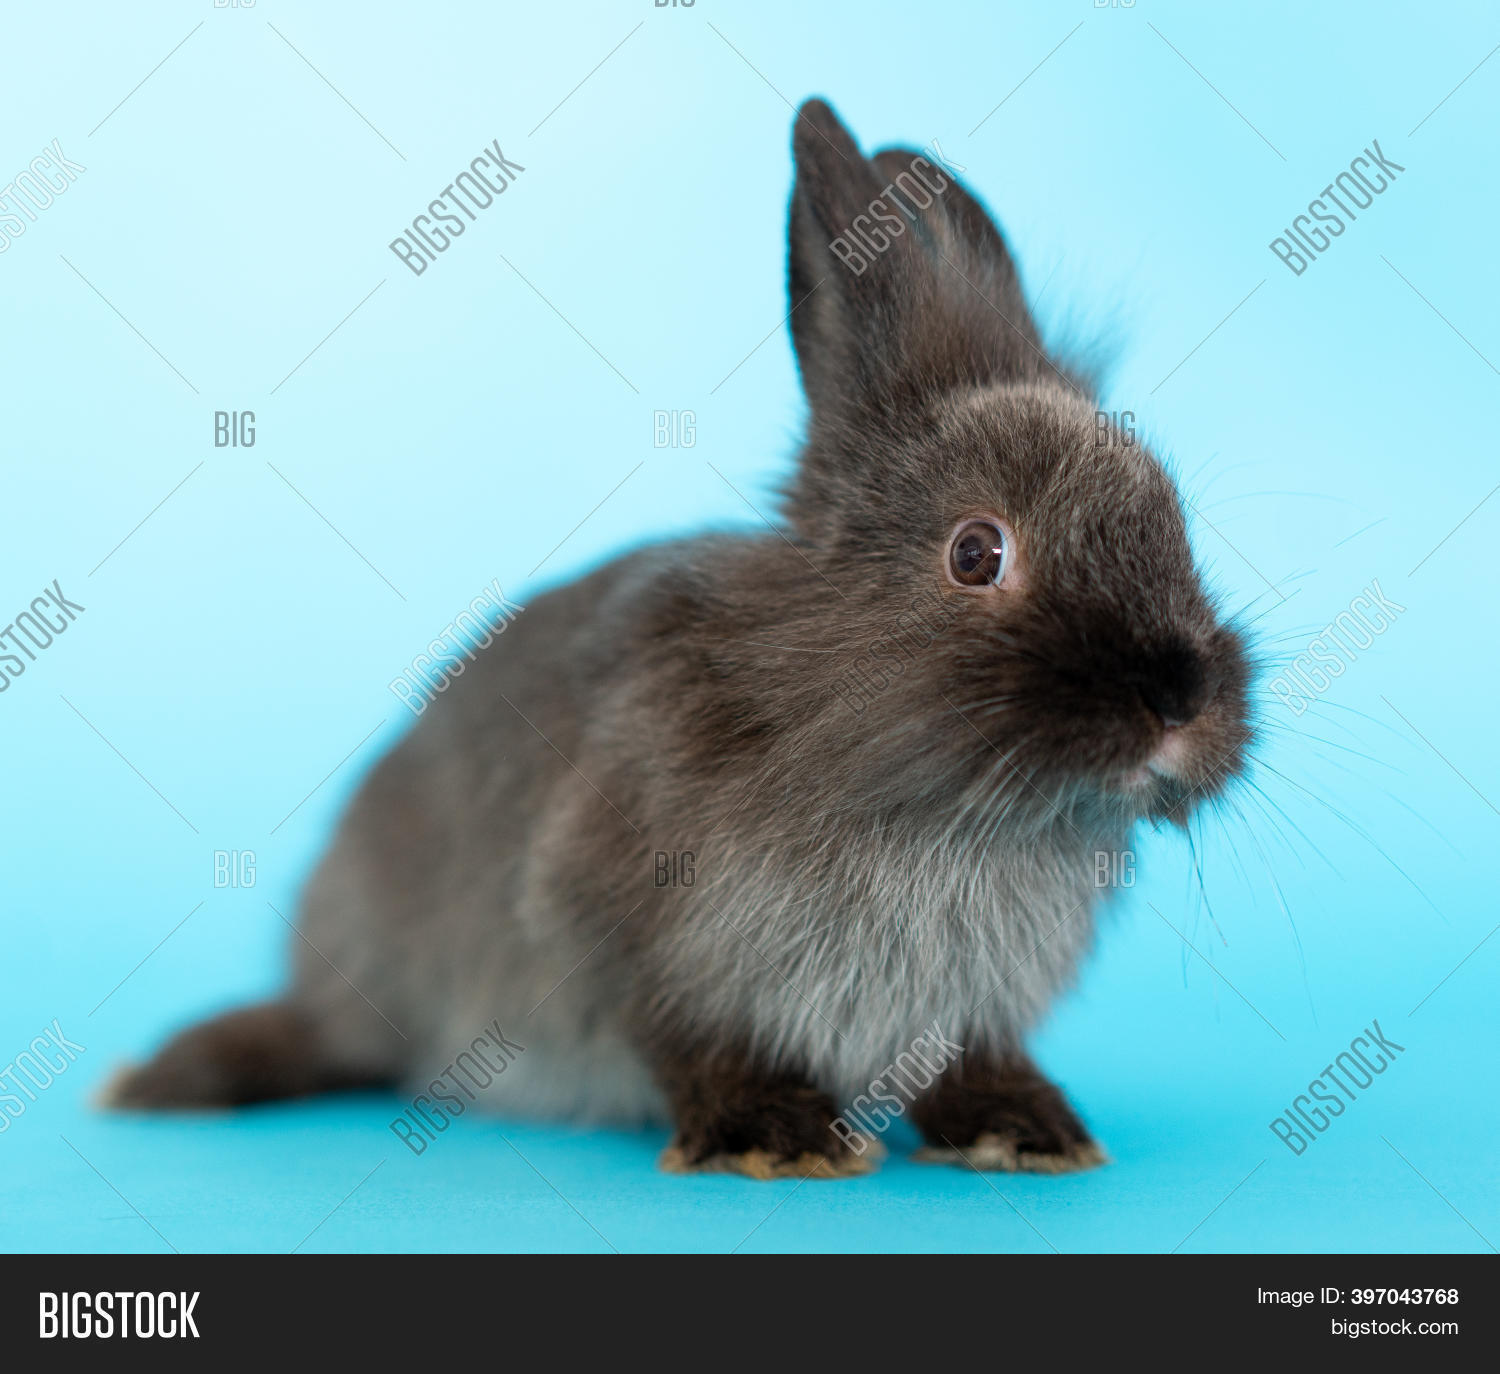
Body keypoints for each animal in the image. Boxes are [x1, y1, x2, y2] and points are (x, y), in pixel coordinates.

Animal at [104, 98, 1253, 1179]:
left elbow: (964, 1061)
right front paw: (778, 1138)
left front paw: (1024, 1129)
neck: (943, 816)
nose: (1180, 700)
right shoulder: (620, 927)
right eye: (977, 553)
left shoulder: (963, 1008)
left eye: (1172, 520)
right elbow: (695, 1043)